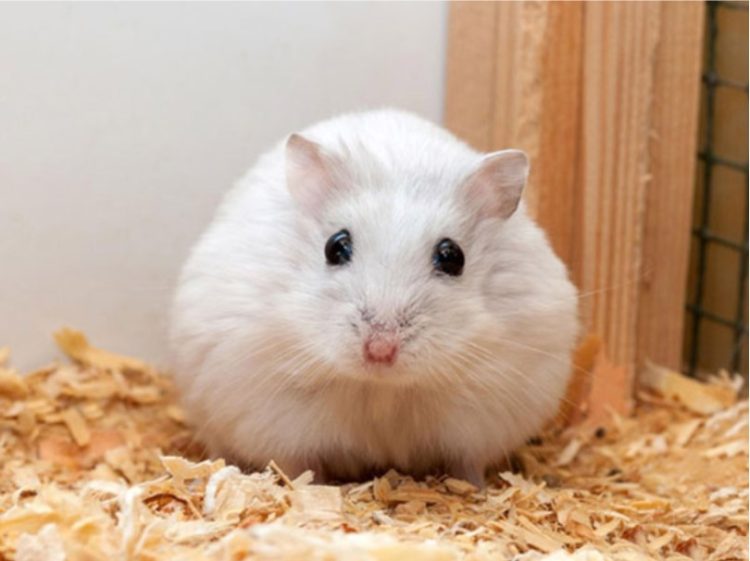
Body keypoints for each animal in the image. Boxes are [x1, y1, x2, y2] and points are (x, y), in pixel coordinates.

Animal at [169, 109, 579, 486]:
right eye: (335, 247)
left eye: (452, 257)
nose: (380, 350)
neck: (382, 387)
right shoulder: (273, 412)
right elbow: (298, 466)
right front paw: (310, 489)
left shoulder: (486, 413)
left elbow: (466, 465)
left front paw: (475, 490)